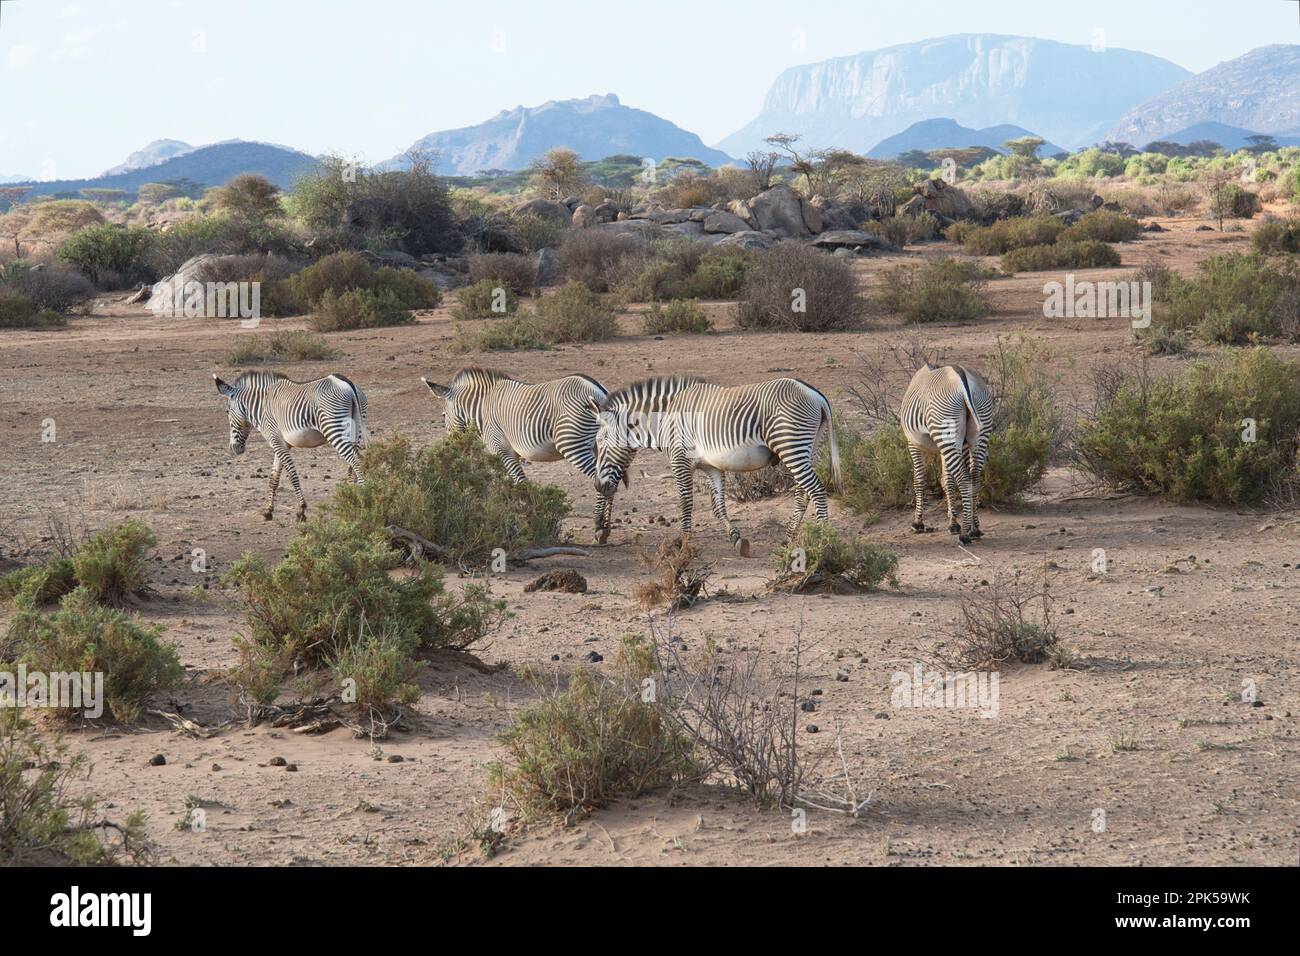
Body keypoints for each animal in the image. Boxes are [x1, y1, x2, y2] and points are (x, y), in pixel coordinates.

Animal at [213, 371, 367, 522]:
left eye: (227, 411)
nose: (234, 448)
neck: (262, 406)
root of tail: (346, 383)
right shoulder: (281, 443)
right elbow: (274, 478)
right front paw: (269, 511)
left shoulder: (276, 441)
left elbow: (292, 475)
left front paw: (301, 510)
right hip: (355, 431)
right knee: (356, 464)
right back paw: (354, 499)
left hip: (334, 428)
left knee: (356, 461)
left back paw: (364, 497)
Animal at [423, 368, 615, 542]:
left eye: (443, 416)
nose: (454, 449)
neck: (481, 406)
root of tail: (599, 391)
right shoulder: (511, 453)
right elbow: (511, 485)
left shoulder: (501, 449)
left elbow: (520, 483)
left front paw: (533, 521)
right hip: (603, 445)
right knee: (612, 478)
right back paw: (604, 528)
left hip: (572, 444)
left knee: (601, 480)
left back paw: (599, 527)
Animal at [592, 377, 841, 555]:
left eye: (600, 443)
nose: (598, 486)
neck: (666, 419)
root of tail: (815, 394)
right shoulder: (713, 467)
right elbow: (718, 506)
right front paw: (736, 539)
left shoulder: (680, 460)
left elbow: (685, 501)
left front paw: (684, 544)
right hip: (809, 449)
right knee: (803, 494)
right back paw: (788, 540)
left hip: (792, 446)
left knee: (817, 491)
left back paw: (824, 543)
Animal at [899, 364, 995, 545]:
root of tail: (961, 375)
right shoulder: (960, 445)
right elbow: (947, 482)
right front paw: (953, 522)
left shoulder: (914, 444)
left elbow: (919, 481)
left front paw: (918, 523)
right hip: (978, 433)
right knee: (975, 479)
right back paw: (974, 529)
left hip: (945, 426)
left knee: (964, 480)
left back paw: (964, 535)